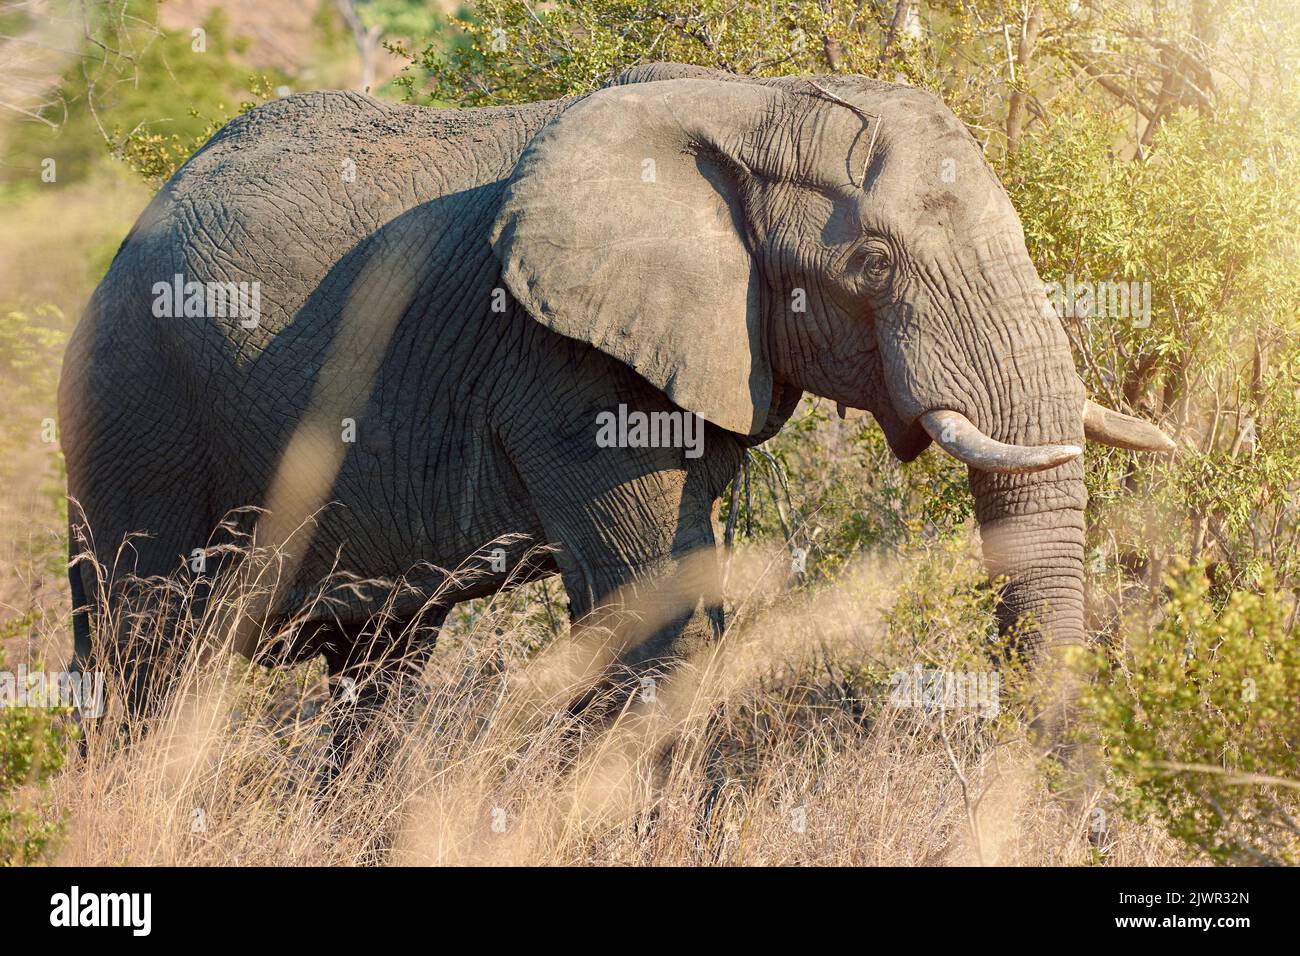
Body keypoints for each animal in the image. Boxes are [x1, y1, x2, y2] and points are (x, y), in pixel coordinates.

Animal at [59, 62, 1173, 750]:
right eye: (871, 263)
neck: (750, 106)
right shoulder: (562, 366)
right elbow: (655, 614)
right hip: (132, 403)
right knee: (142, 653)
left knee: (380, 666)